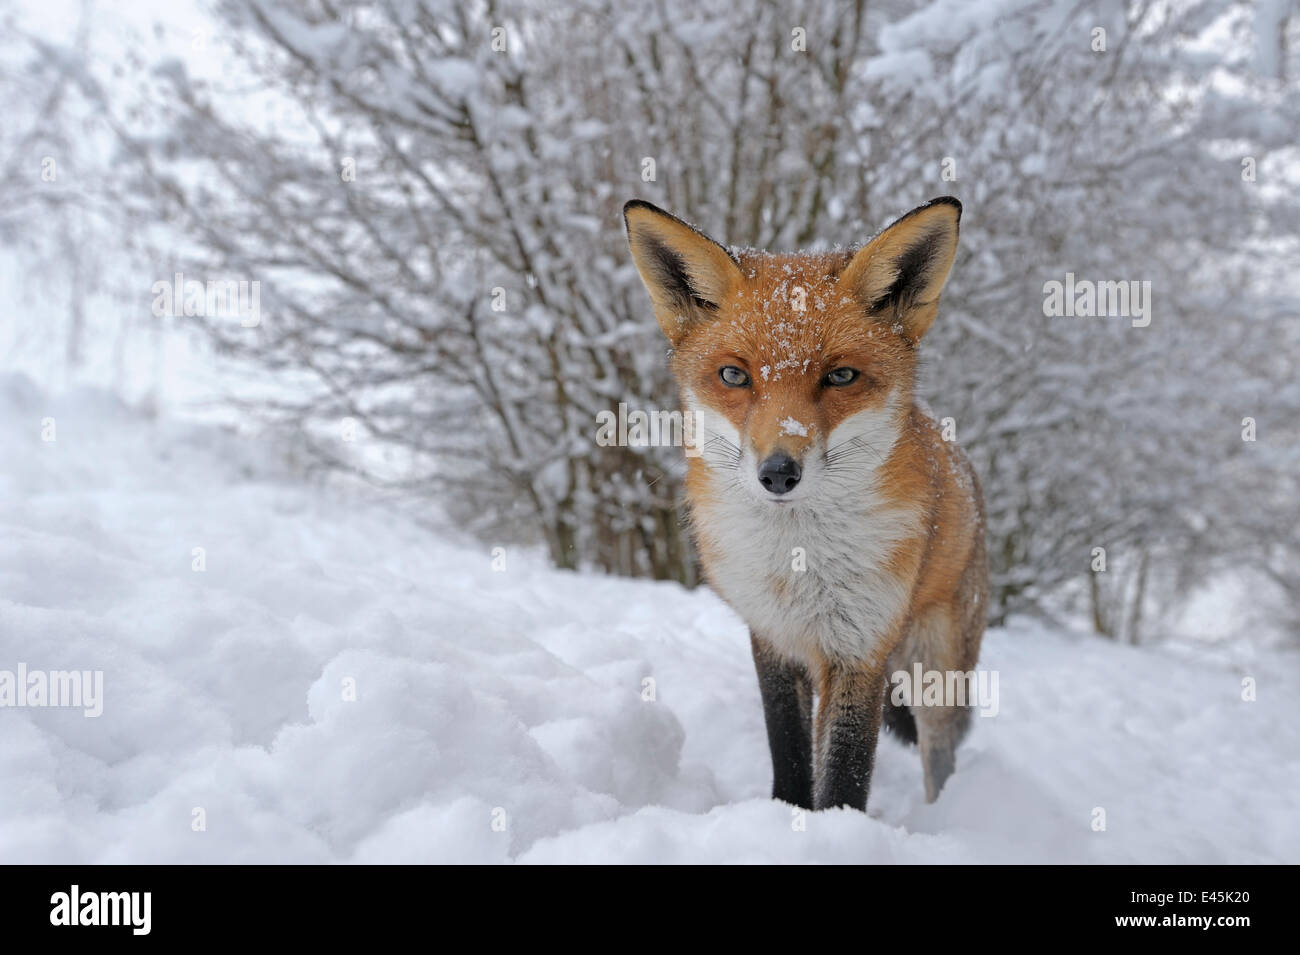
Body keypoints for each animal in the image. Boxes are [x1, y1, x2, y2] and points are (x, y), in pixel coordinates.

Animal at [624, 196, 988, 812]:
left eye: (840, 376)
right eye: (733, 375)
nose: (778, 473)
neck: (798, 561)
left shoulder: (860, 649)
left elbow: (844, 773)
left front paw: (837, 826)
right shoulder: (774, 638)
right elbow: (790, 753)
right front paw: (787, 816)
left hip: (935, 675)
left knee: (941, 757)